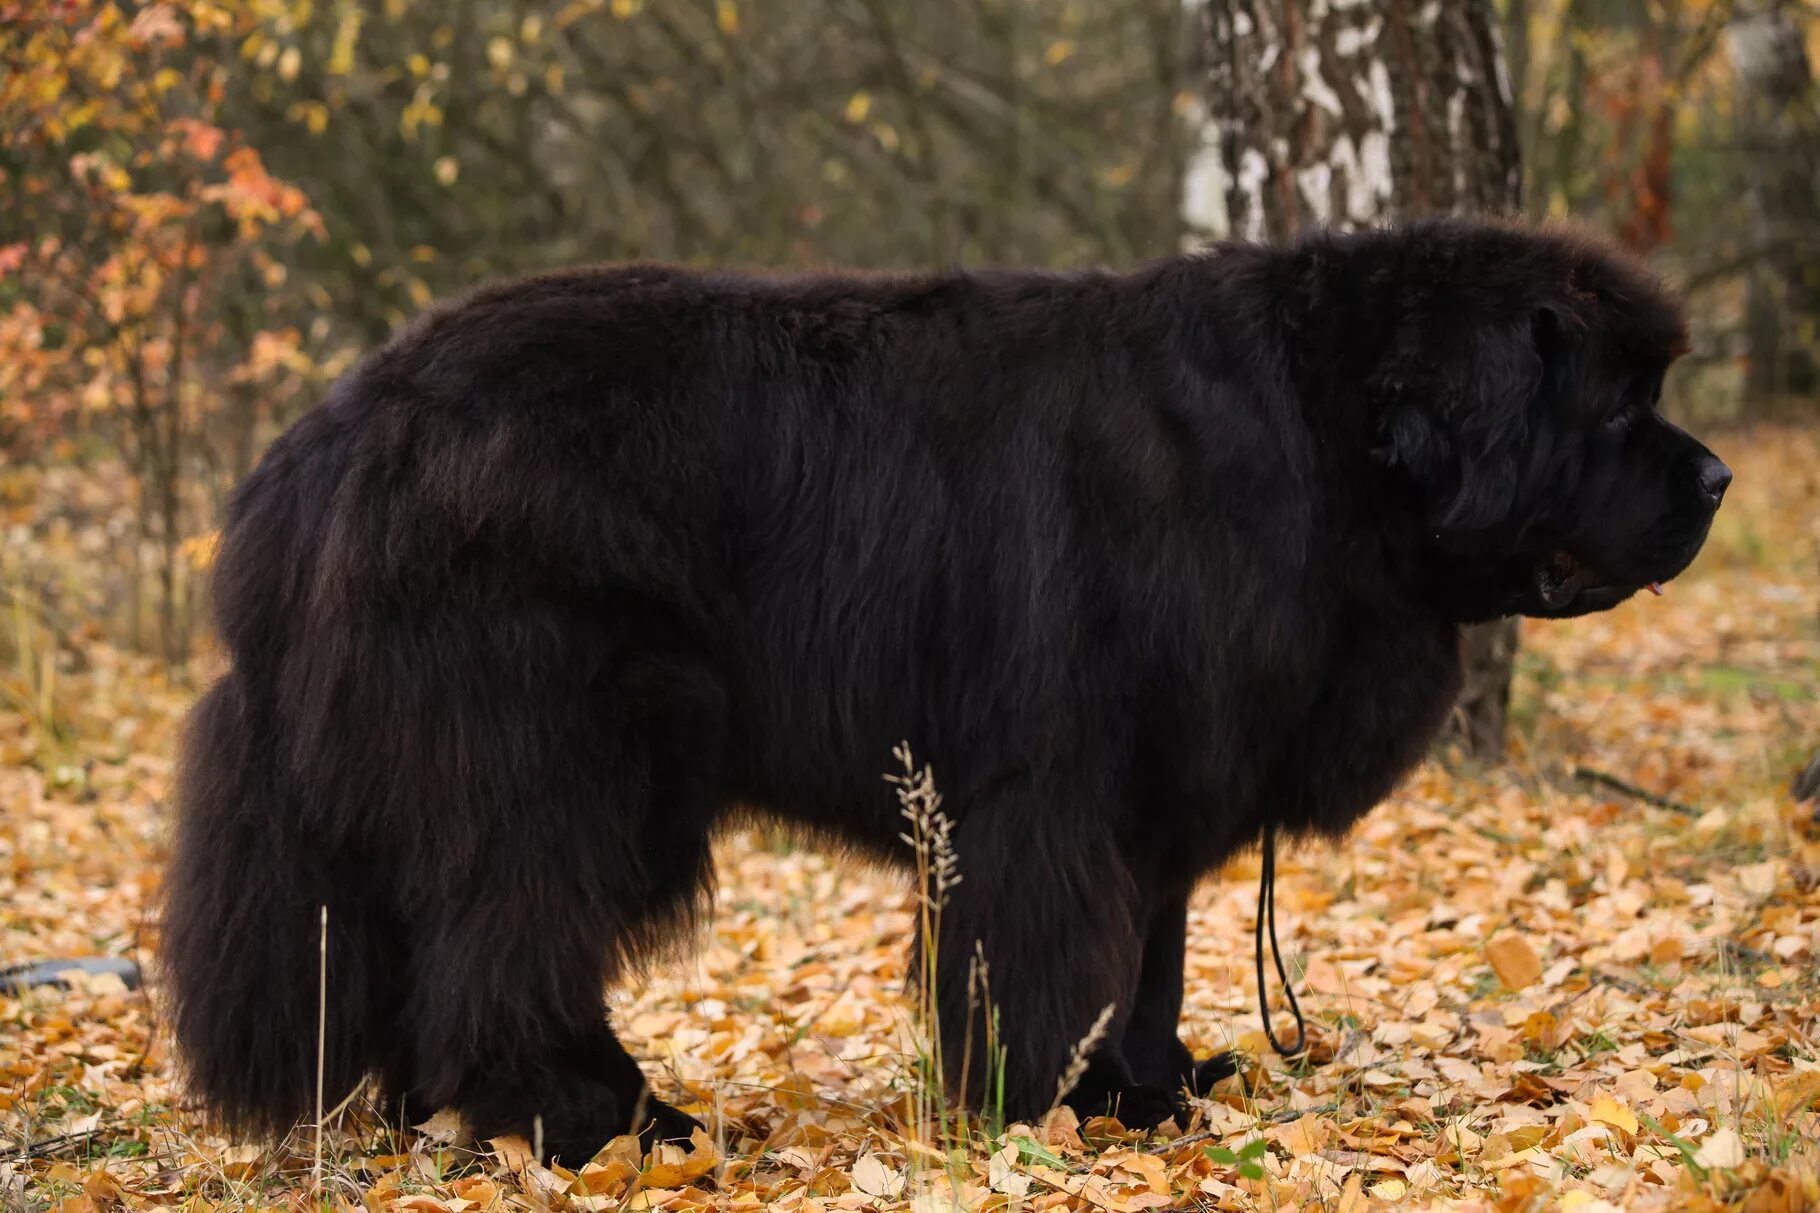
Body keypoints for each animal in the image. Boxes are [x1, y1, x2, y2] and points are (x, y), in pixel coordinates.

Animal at [163, 219, 1725, 1165]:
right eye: (1615, 406)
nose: (1711, 478)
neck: (1317, 436)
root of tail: (326, 443)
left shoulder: (1156, 786)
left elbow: (1152, 956)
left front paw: (1145, 1094)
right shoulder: (1052, 787)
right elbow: (1051, 952)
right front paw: (1032, 1105)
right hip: (572, 760)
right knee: (504, 946)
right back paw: (599, 1119)